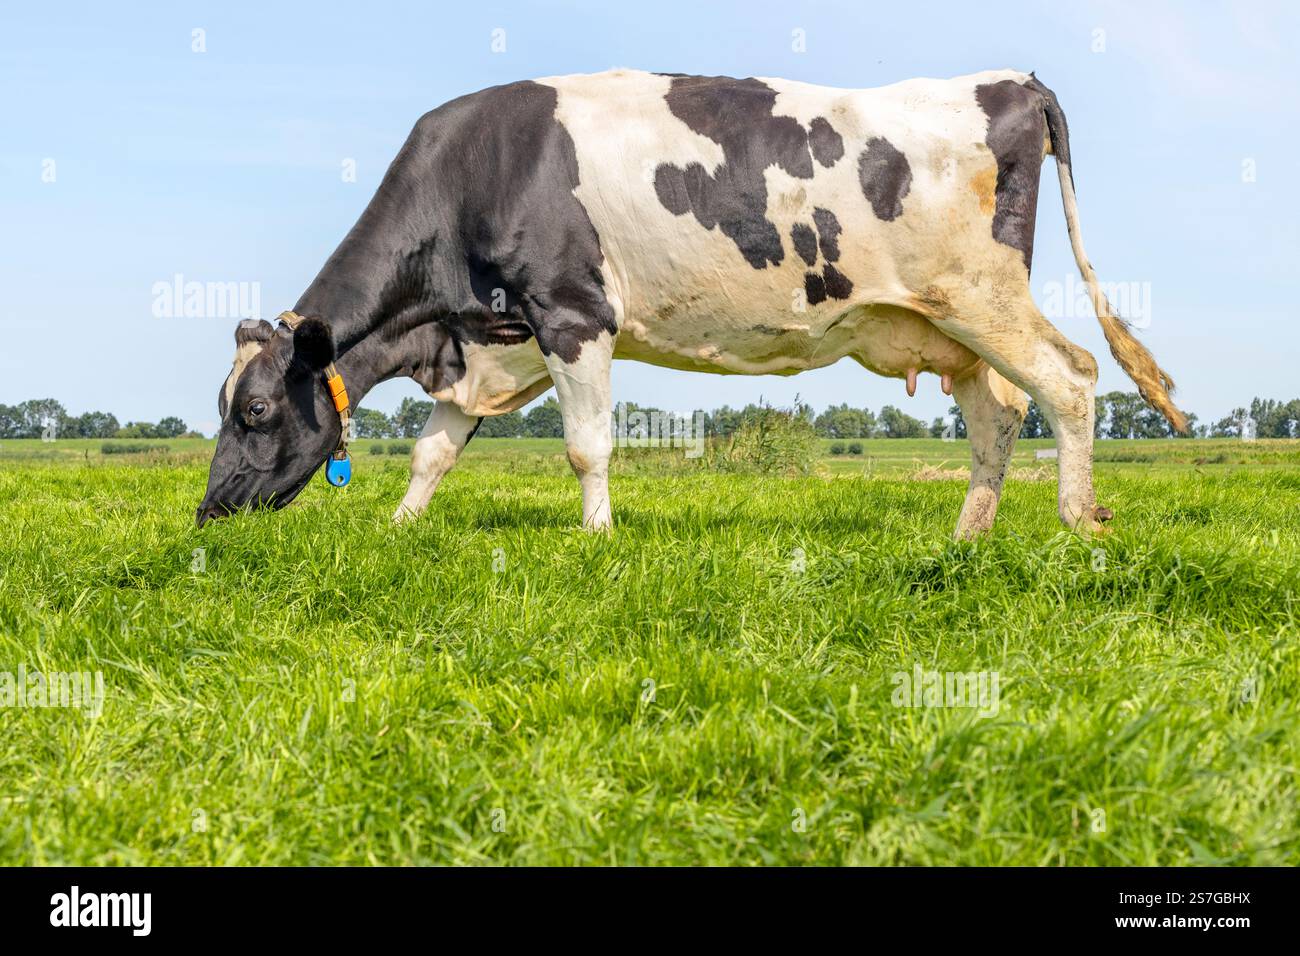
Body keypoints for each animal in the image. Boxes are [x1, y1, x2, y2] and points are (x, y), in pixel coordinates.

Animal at [198, 68, 1186, 536]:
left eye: (256, 409)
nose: (207, 513)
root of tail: (1008, 79)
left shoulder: (572, 313)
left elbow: (586, 447)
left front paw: (598, 538)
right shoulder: (491, 344)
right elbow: (431, 454)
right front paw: (401, 529)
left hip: (981, 295)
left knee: (1070, 376)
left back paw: (1078, 522)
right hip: (943, 323)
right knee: (1000, 412)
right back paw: (964, 538)